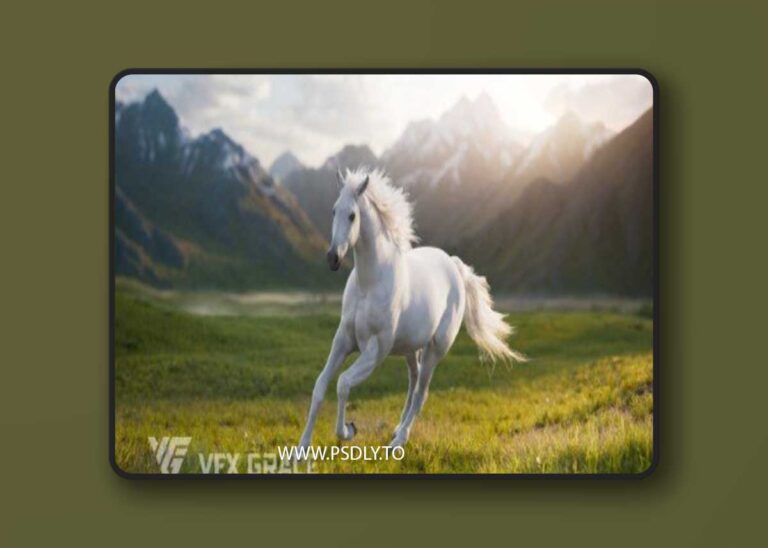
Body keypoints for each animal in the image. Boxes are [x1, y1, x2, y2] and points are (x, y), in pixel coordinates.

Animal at [298, 167, 526, 450]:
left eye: (352, 215)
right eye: (333, 211)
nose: (333, 258)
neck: (369, 284)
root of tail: (454, 265)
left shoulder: (376, 349)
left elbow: (343, 383)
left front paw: (348, 430)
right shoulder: (343, 340)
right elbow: (320, 385)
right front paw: (301, 448)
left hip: (435, 350)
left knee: (421, 393)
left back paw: (399, 440)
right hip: (410, 349)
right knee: (413, 382)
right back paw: (397, 429)